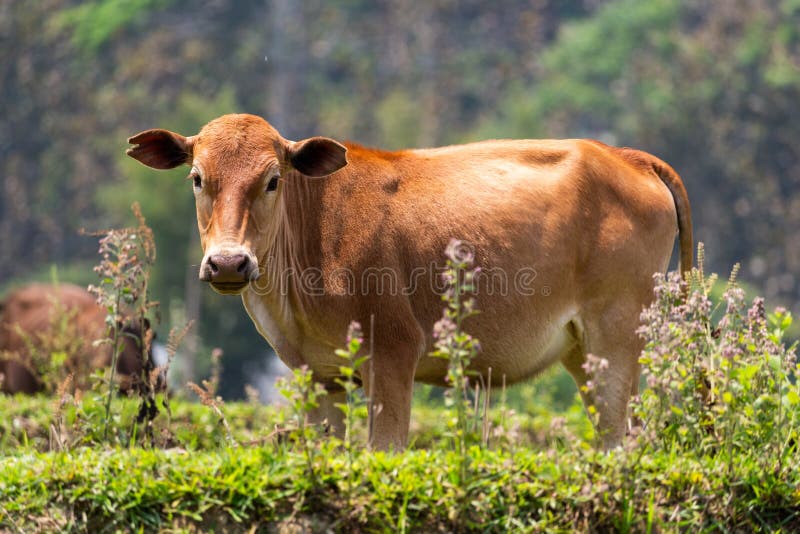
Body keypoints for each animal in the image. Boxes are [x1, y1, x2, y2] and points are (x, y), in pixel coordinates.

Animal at [127, 113, 692, 450]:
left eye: (273, 179)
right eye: (197, 178)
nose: (229, 263)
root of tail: (622, 155)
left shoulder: (393, 354)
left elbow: (385, 451)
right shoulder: (318, 373)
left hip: (617, 337)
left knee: (623, 439)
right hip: (584, 352)